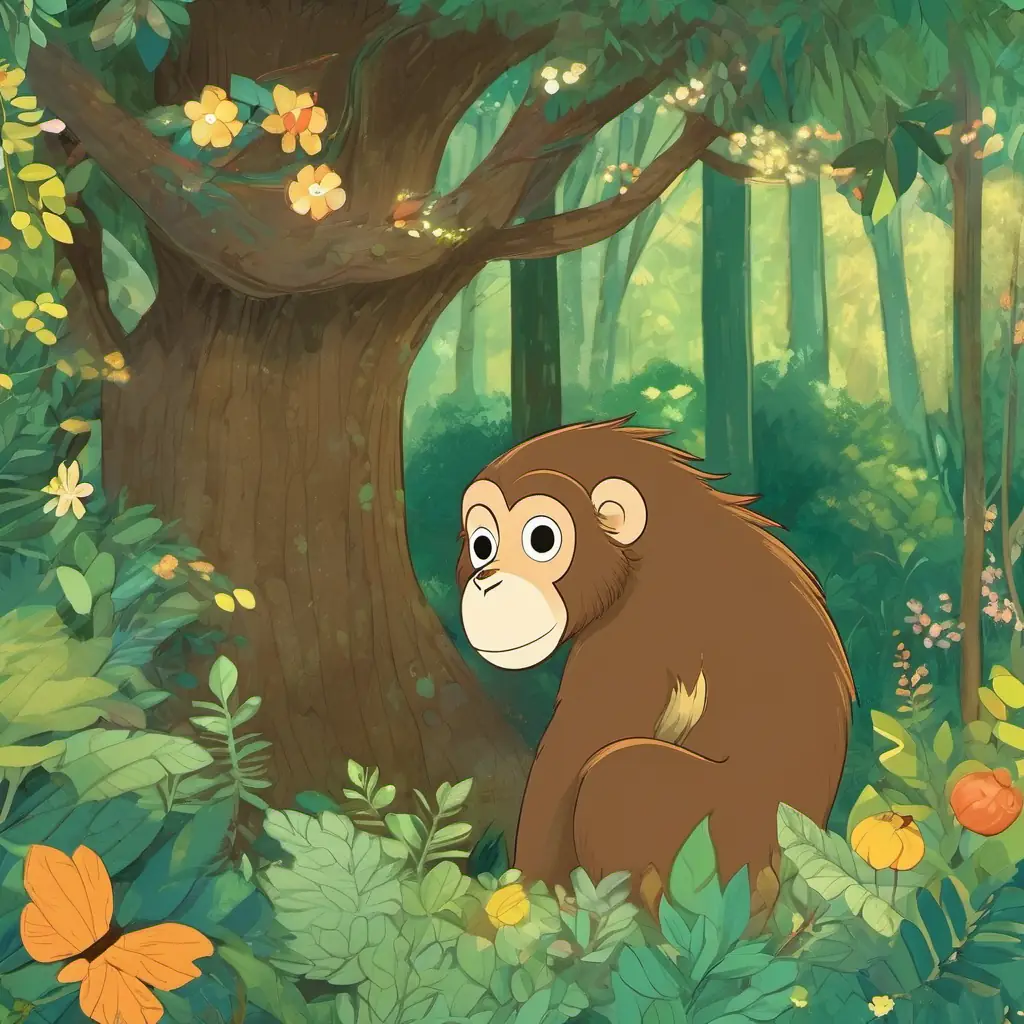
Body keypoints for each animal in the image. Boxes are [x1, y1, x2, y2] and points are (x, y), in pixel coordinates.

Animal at [456, 417, 855, 896]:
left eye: (541, 539)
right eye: (483, 545)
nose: (486, 583)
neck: (649, 548)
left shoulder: (638, 635)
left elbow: (571, 760)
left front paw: (527, 900)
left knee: (617, 773)